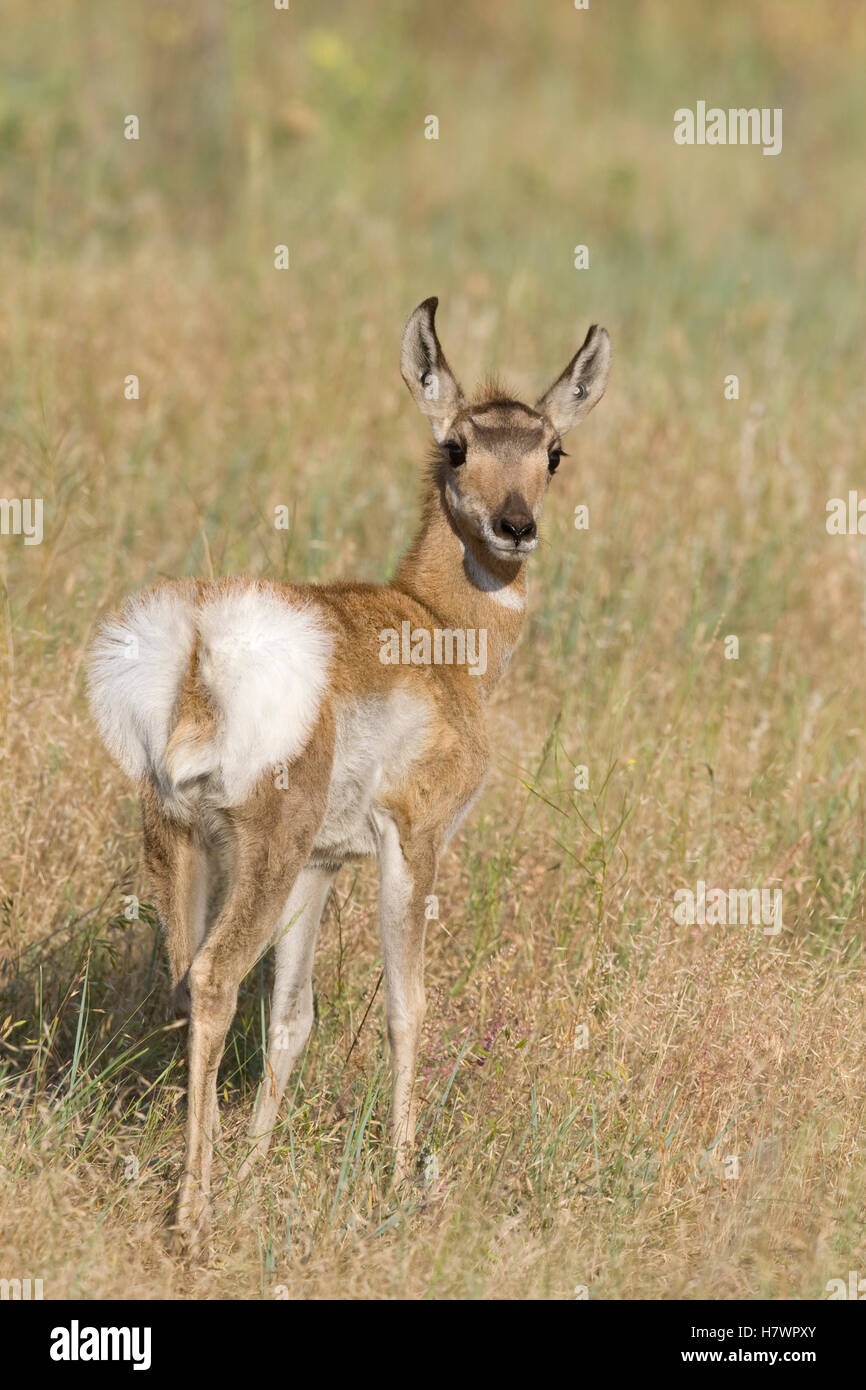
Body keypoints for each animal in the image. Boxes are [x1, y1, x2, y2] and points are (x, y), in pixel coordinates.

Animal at [87, 297, 611, 1259]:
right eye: (458, 445)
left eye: (552, 449)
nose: (515, 526)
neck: (435, 627)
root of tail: (198, 642)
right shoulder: (414, 840)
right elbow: (408, 1007)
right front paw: (404, 1177)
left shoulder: (323, 865)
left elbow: (293, 1019)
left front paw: (257, 1166)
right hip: (263, 851)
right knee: (214, 980)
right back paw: (193, 1218)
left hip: (184, 843)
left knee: (184, 980)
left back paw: (207, 1183)